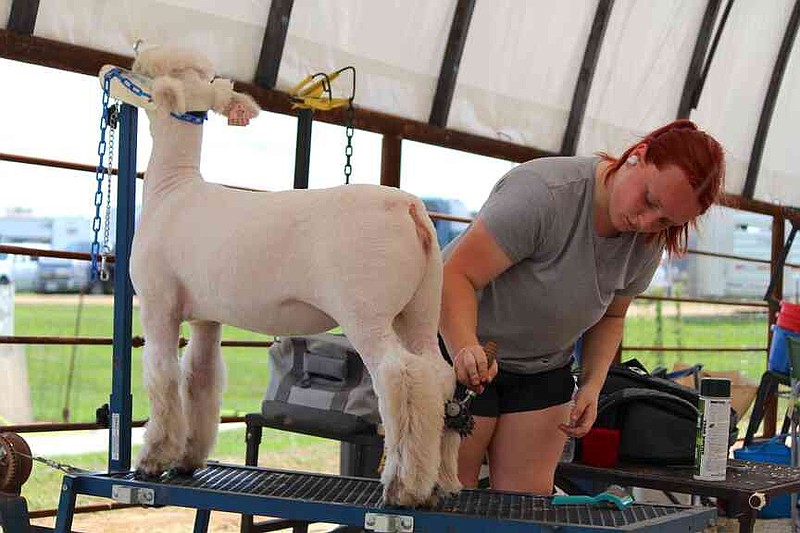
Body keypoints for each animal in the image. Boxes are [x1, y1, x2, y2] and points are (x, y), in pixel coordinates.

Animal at [110, 46, 460, 507]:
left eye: (142, 74)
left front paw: (152, 460)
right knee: (439, 376)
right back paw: (439, 482)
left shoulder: (157, 303)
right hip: (421, 307)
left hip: (365, 309)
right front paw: (187, 459)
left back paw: (405, 486)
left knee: (402, 377)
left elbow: (162, 376)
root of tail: (410, 208)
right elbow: (200, 379)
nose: (108, 71)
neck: (174, 189)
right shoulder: (207, 316)